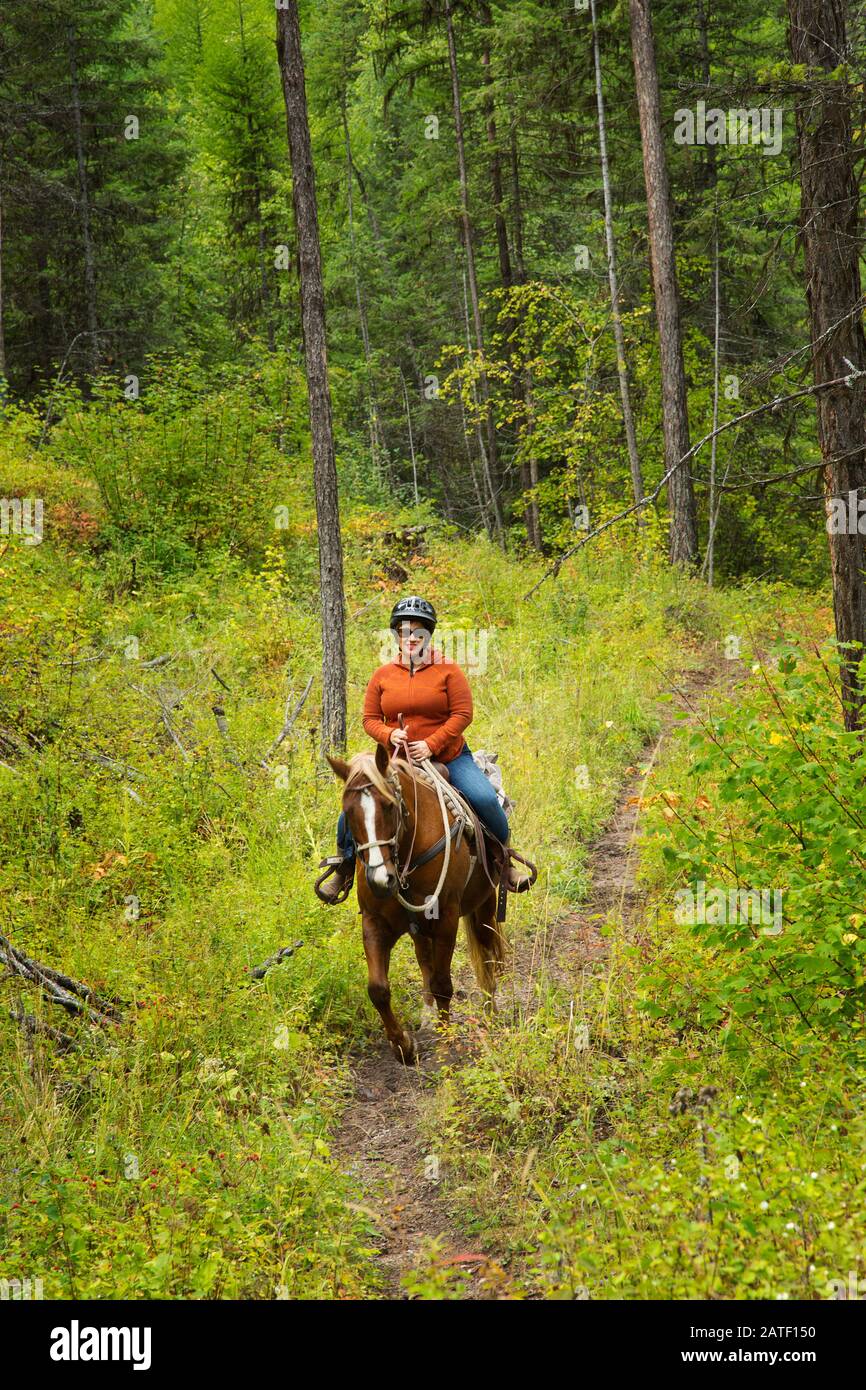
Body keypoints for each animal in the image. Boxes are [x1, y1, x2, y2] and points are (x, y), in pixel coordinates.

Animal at [326, 742, 505, 1064]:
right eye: (348, 812)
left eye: (389, 806)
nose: (380, 880)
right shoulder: (375, 922)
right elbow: (378, 989)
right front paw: (403, 1047)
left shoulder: (446, 920)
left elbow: (443, 984)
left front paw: (446, 1046)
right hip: (418, 928)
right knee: (425, 961)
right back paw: (427, 1015)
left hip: (484, 903)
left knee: (486, 953)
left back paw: (489, 1011)